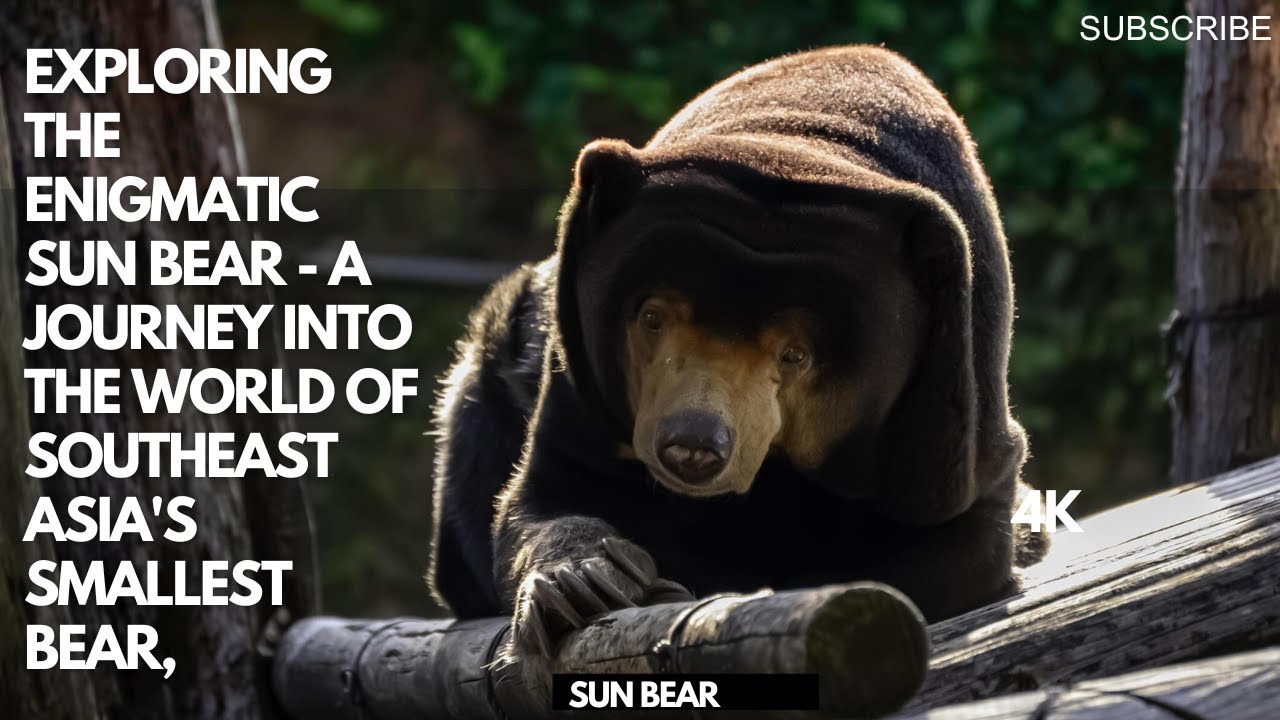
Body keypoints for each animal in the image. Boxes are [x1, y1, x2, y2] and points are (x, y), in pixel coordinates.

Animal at [428, 45, 1044, 658]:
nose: (692, 447)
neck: (797, 140)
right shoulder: (577, 386)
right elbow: (541, 500)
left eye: (795, 354)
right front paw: (587, 581)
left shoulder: (946, 423)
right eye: (652, 317)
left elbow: (949, 549)